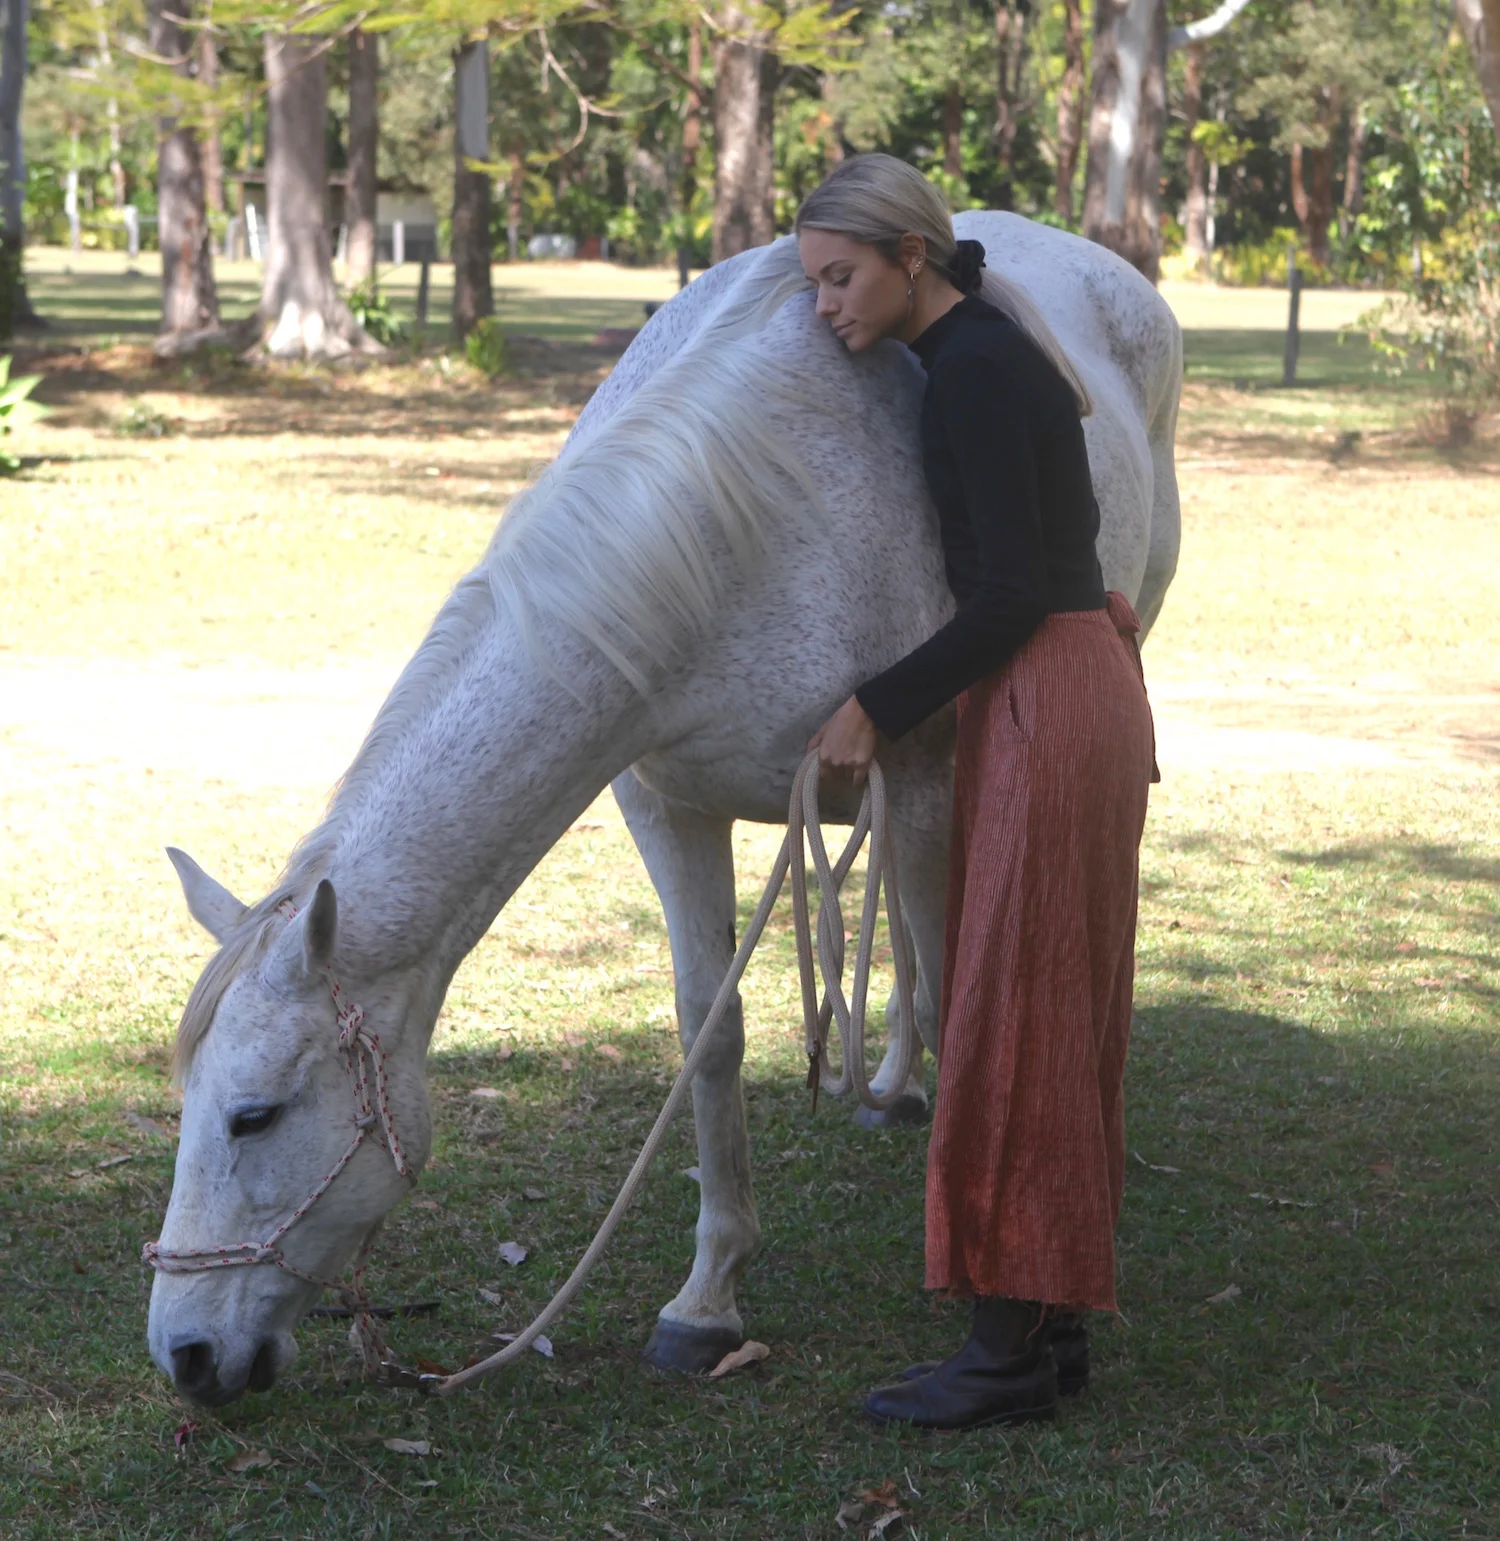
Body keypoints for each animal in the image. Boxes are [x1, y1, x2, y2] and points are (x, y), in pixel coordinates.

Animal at [146, 213, 1182, 1405]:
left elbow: (960, 990)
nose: (184, 1354)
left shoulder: (919, 781)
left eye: (254, 1114)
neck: (754, 521)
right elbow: (711, 1031)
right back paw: (886, 1083)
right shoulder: (669, 808)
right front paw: (708, 1297)